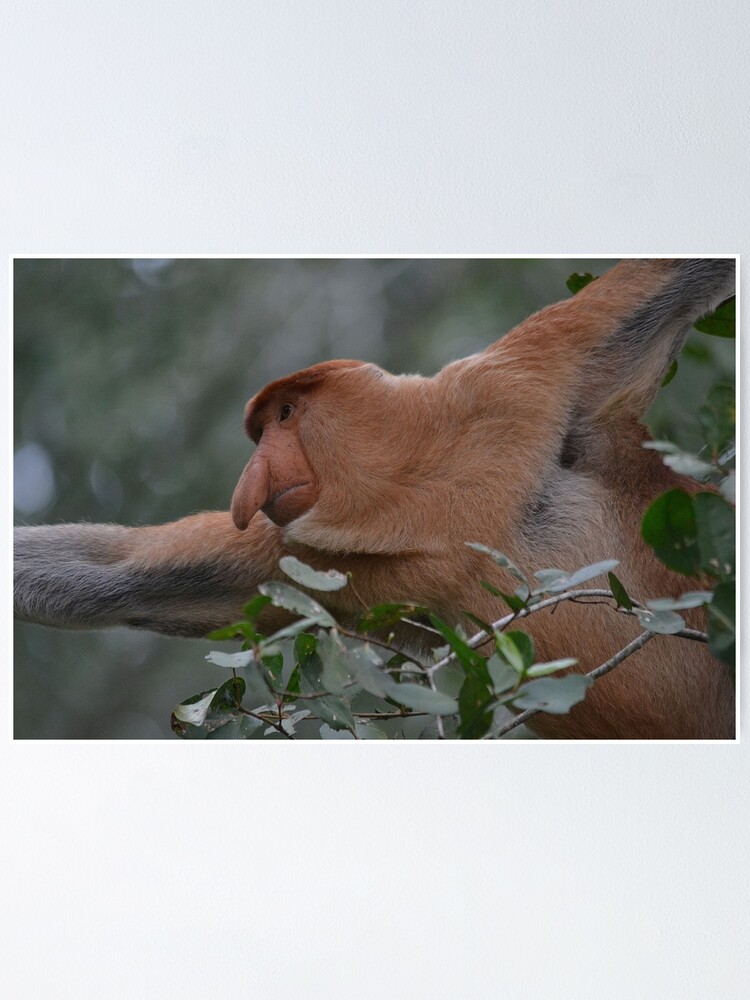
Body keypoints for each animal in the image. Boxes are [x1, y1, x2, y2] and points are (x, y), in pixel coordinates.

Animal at [14, 258, 736, 739]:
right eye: (262, 428)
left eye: (283, 415)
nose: (251, 476)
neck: (422, 490)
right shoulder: (308, 553)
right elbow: (113, 574)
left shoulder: (514, 382)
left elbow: (665, 277)